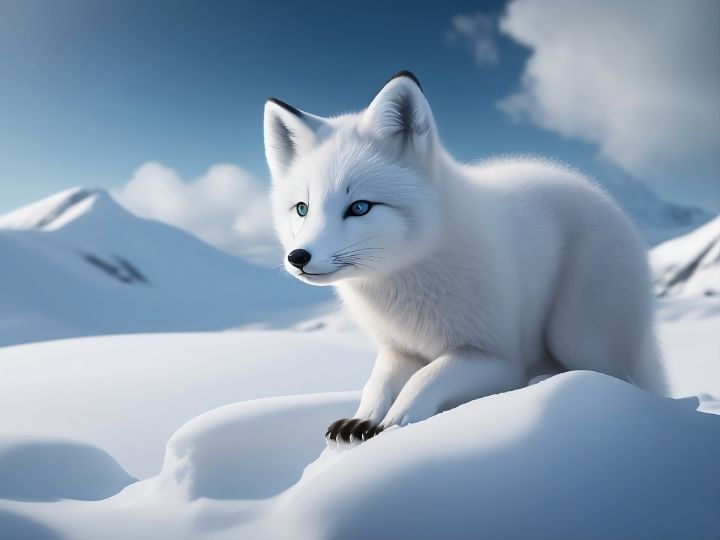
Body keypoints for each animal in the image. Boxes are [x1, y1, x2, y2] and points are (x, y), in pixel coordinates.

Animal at [264, 70, 666, 443]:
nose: (298, 257)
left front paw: (397, 424)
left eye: (359, 207)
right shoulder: (399, 350)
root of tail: (607, 199)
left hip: (576, 335)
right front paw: (365, 418)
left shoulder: (498, 358)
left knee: (622, 382)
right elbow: (377, 384)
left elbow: (426, 378)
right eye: (302, 209)